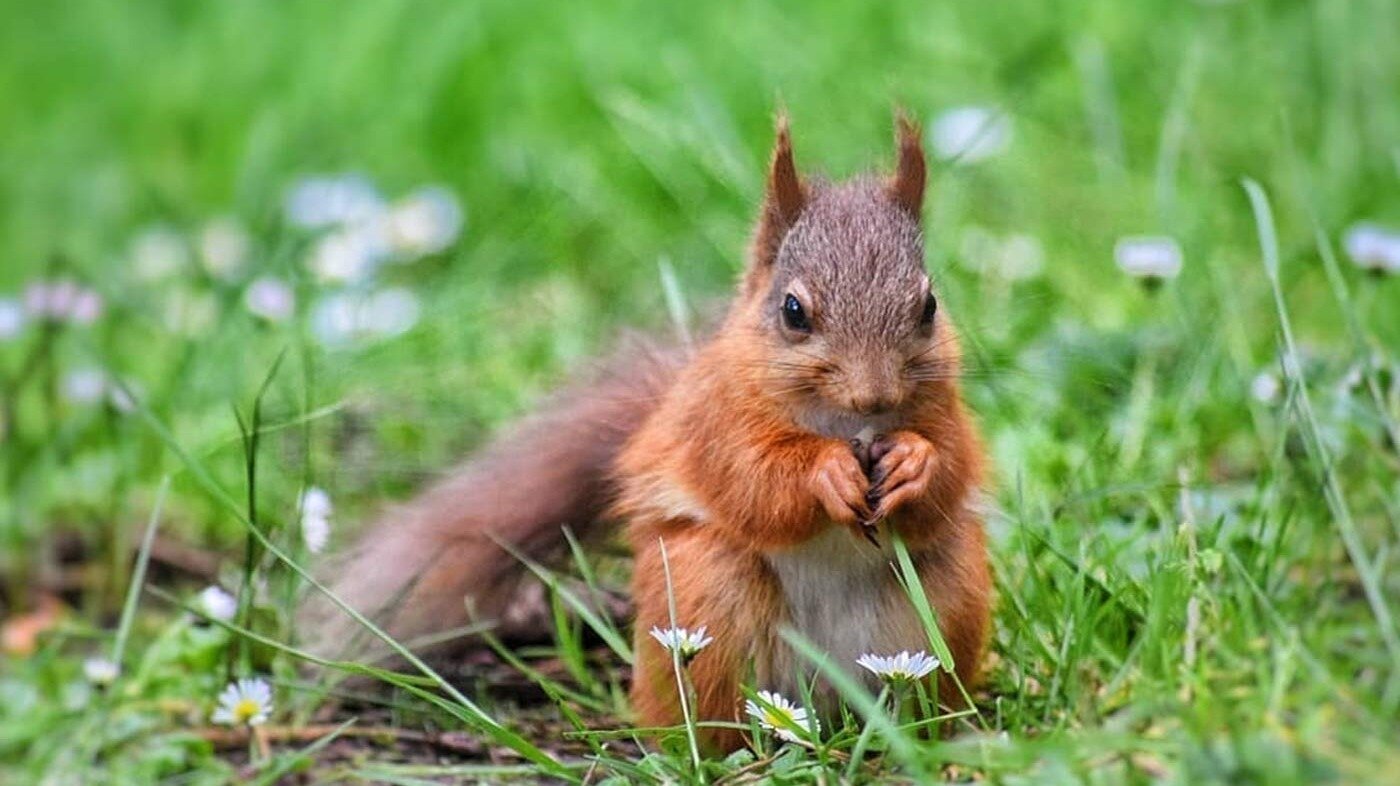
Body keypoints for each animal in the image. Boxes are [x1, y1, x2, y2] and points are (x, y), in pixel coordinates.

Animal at [304, 114, 991, 753]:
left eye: (929, 307)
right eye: (793, 311)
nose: (875, 396)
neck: (846, 425)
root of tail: (822, 700)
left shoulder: (947, 413)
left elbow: (952, 466)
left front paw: (914, 462)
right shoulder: (715, 421)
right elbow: (752, 481)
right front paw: (825, 471)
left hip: (947, 596)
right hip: (707, 593)